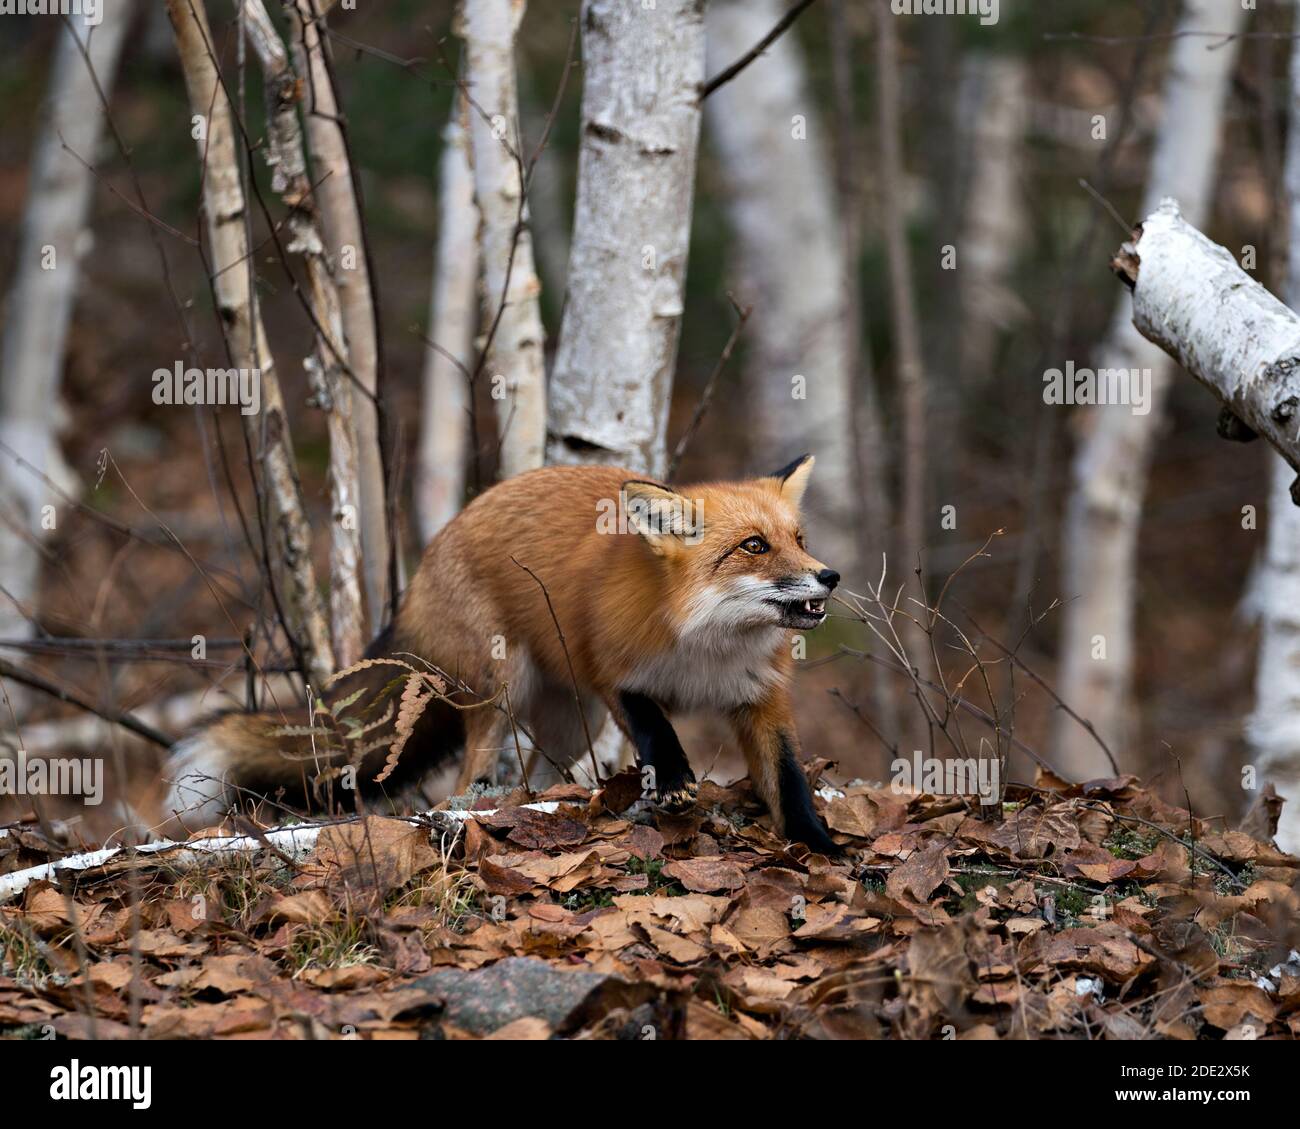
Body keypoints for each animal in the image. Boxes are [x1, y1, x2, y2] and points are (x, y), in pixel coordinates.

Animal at [162, 455, 840, 853]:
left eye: (799, 539)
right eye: (754, 546)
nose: (829, 575)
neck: (707, 649)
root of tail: (428, 559)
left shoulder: (760, 697)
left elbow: (788, 779)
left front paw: (821, 848)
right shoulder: (613, 670)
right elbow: (654, 724)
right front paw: (672, 778)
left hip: (567, 720)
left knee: (538, 773)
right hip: (503, 689)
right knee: (469, 777)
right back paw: (478, 812)